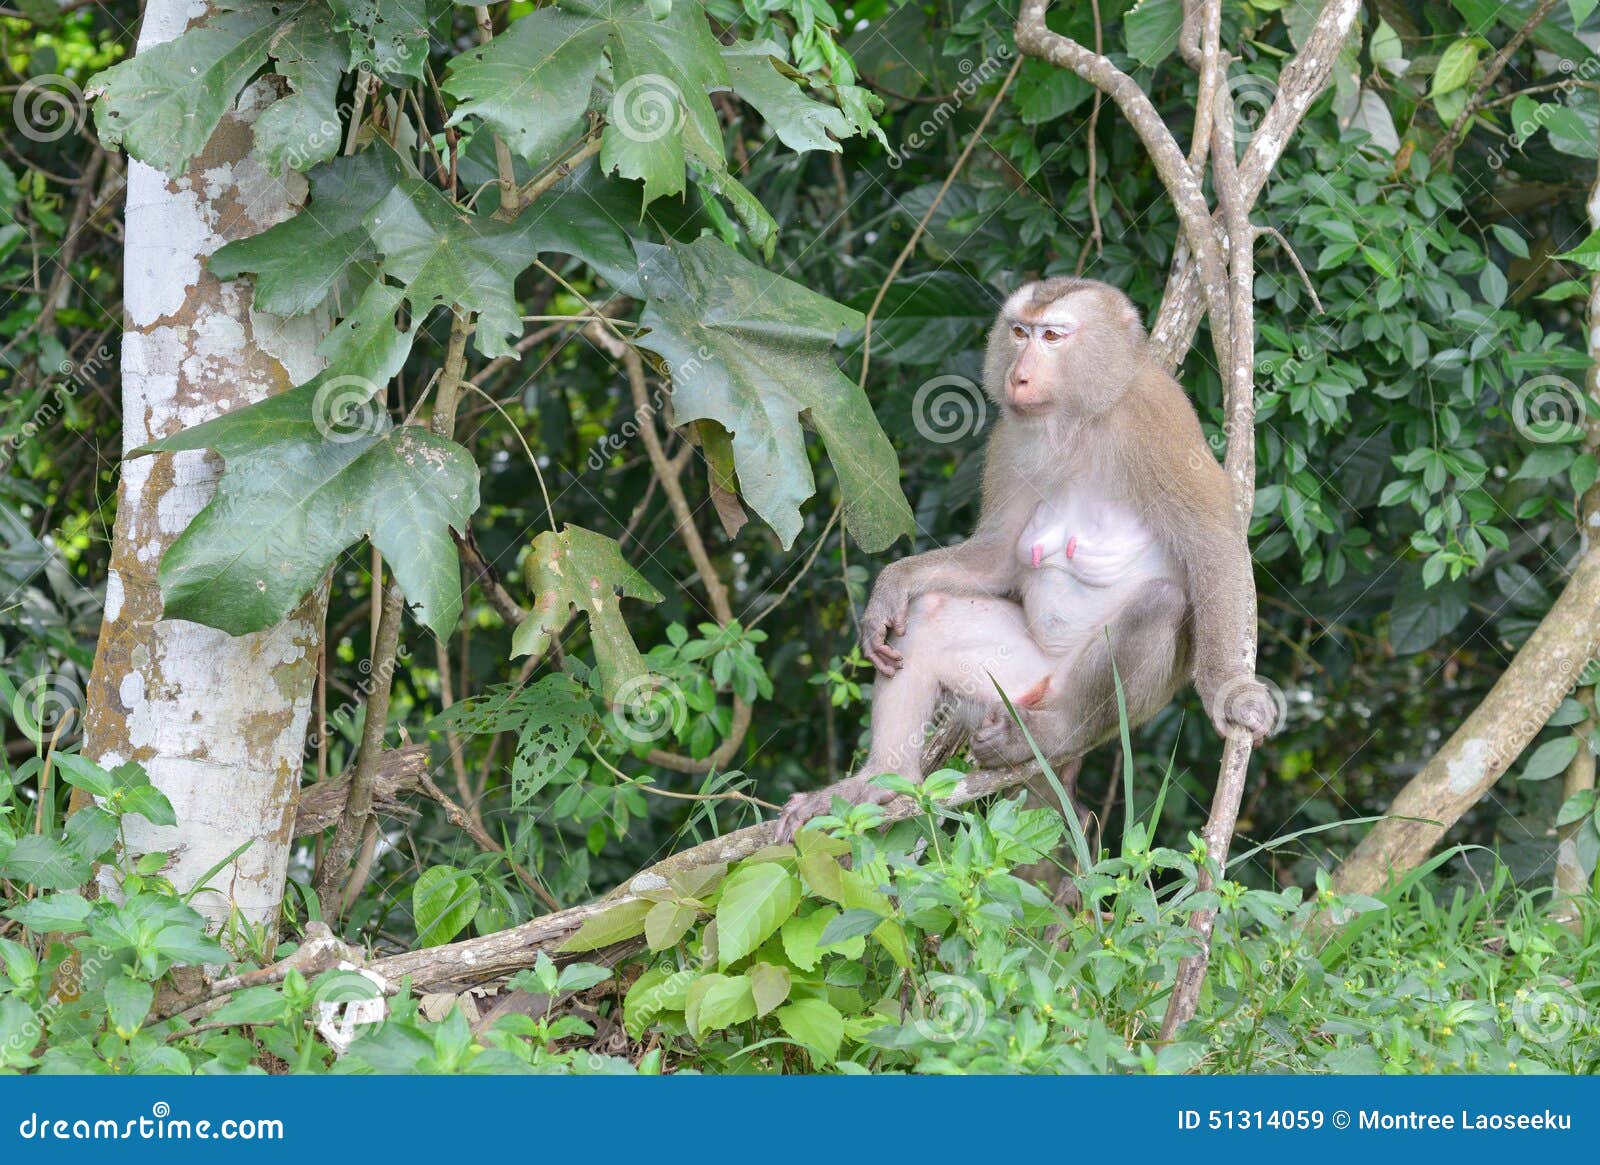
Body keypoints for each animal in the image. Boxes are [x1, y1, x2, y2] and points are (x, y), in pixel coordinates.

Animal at [775, 277, 1279, 843]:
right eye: (1020, 332)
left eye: (1053, 337)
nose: (1019, 375)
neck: (1078, 419)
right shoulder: (1009, 439)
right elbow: (996, 557)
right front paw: (892, 584)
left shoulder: (1158, 420)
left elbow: (1213, 544)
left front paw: (1230, 691)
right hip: (1010, 684)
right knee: (930, 613)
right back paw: (881, 780)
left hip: (1090, 701)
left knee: (1159, 605)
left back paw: (1052, 735)